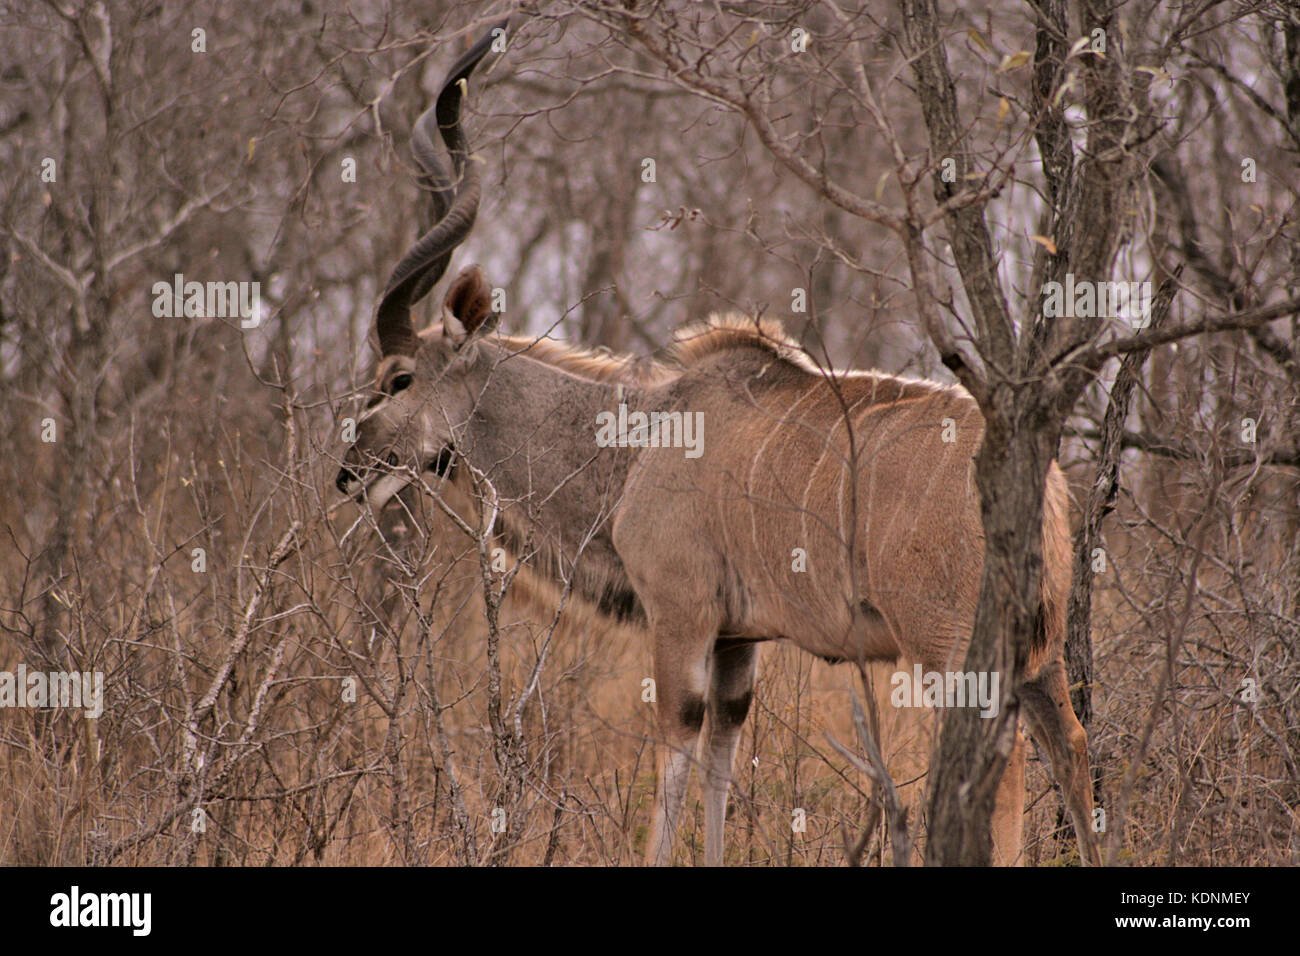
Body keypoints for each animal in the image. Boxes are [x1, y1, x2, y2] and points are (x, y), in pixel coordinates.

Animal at [337, 24, 1101, 867]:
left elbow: (676, 746)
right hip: (1037, 653)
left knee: (1008, 760)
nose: (348, 471)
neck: (638, 443)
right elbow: (722, 759)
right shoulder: (740, 639)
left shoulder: (682, 613)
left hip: (950, 644)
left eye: (399, 377)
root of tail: (1045, 484)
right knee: (1069, 743)